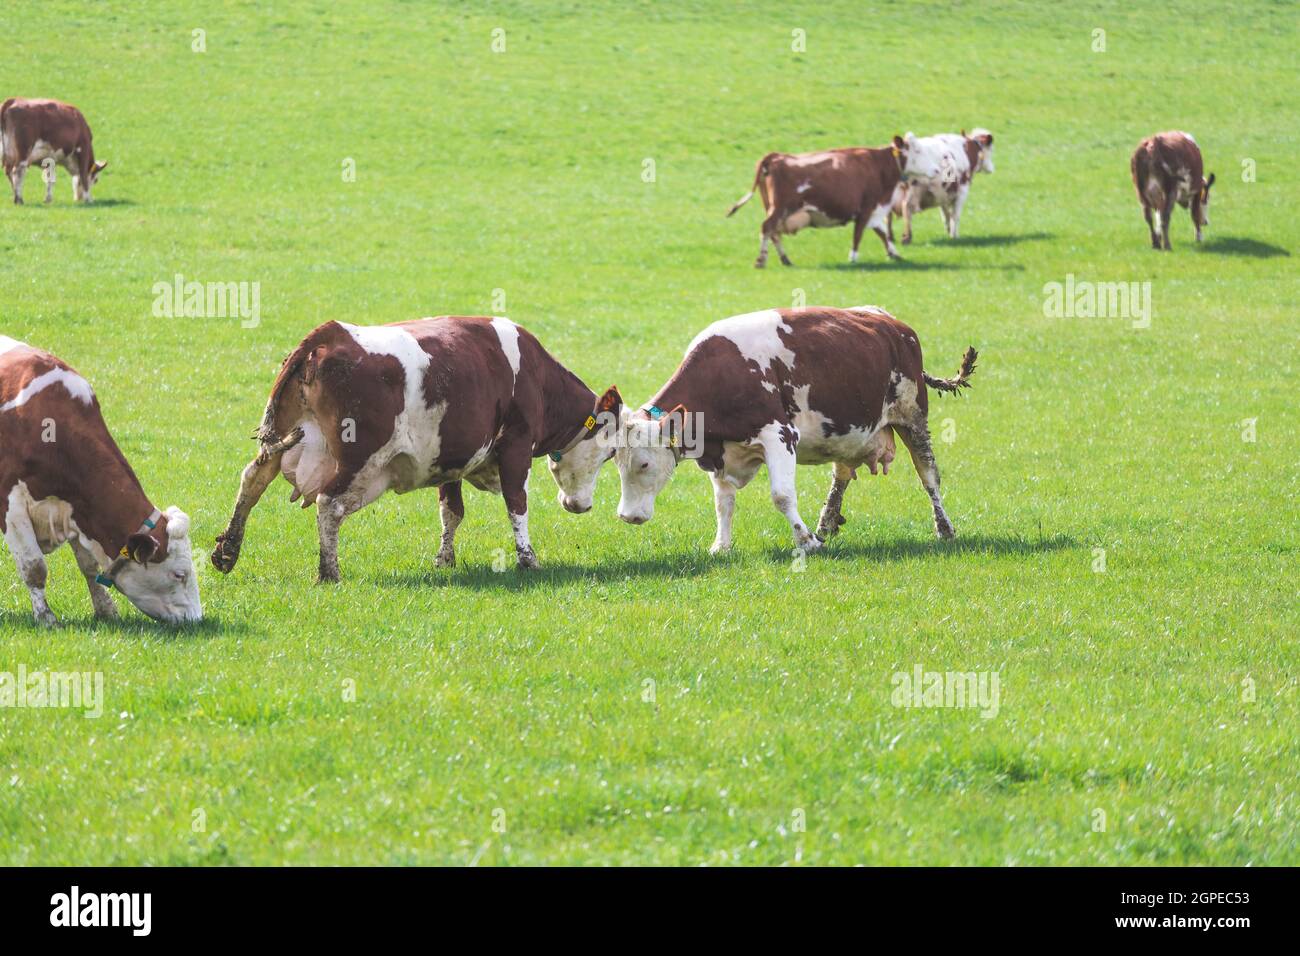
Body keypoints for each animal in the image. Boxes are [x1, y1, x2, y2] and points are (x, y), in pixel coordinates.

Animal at [0, 336, 201, 625]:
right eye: (179, 574)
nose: (197, 619)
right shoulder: (11, 502)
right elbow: (34, 567)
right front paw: (46, 618)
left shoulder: (77, 510)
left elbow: (88, 566)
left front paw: (106, 609)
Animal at [211, 316, 620, 582]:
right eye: (610, 453)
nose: (581, 506)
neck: (535, 374)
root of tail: (325, 338)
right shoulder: (516, 446)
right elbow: (517, 504)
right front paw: (527, 559)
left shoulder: (451, 457)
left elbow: (451, 511)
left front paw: (445, 559)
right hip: (359, 458)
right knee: (329, 504)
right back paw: (329, 572)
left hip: (283, 436)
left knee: (253, 478)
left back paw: (227, 550)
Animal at [610, 307, 977, 555]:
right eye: (616, 463)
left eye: (644, 463)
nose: (627, 516)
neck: (723, 374)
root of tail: (892, 323)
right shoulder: (720, 452)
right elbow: (723, 502)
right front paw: (721, 545)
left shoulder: (780, 435)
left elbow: (782, 496)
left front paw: (807, 541)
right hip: (849, 433)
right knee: (842, 475)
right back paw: (827, 521)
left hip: (912, 416)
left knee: (928, 475)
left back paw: (944, 528)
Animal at [725, 137, 917, 266]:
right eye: (918, 151)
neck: (878, 164)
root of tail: (776, 157)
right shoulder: (867, 206)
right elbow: (860, 234)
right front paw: (853, 257)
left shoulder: (874, 209)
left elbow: (882, 232)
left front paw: (894, 254)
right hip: (781, 207)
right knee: (767, 227)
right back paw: (761, 260)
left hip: (772, 207)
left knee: (773, 232)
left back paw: (785, 259)